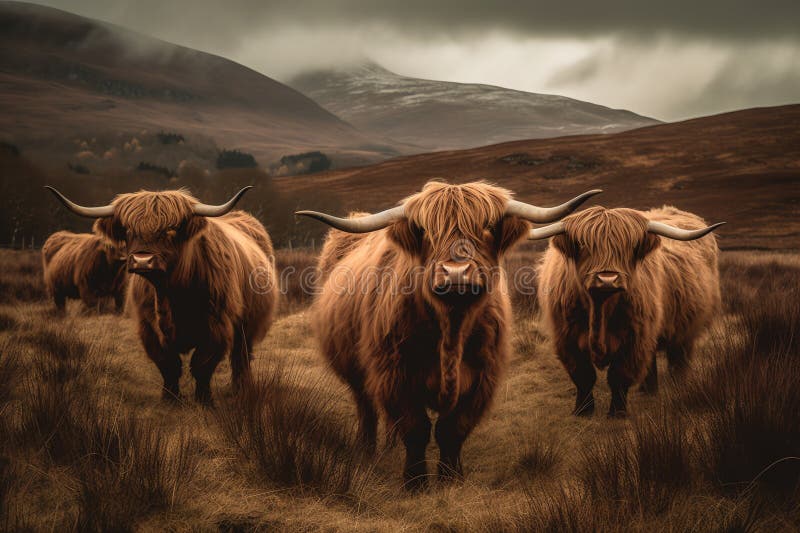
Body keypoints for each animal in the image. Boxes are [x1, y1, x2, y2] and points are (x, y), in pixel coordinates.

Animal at [46, 186, 278, 404]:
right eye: (128, 230)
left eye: (170, 230)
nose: (142, 261)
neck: (170, 294)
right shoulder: (148, 328)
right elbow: (168, 364)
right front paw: (170, 398)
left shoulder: (217, 325)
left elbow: (202, 365)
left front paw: (204, 400)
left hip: (247, 325)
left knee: (241, 357)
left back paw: (241, 390)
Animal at [298, 181, 601, 489]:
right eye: (425, 230)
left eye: (487, 227)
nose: (456, 273)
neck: (451, 328)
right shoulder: (394, 375)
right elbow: (416, 429)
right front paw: (415, 481)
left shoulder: (481, 378)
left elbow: (451, 429)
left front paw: (451, 477)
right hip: (356, 371)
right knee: (366, 407)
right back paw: (366, 449)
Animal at [534, 205, 724, 418]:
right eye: (583, 244)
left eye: (628, 246)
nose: (607, 279)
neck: (600, 307)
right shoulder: (567, 338)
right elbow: (583, 375)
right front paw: (583, 410)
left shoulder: (635, 338)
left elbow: (619, 375)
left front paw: (617, 412)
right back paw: (648, 389)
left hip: (686, 326)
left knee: (679, 357)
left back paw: (678, 386)